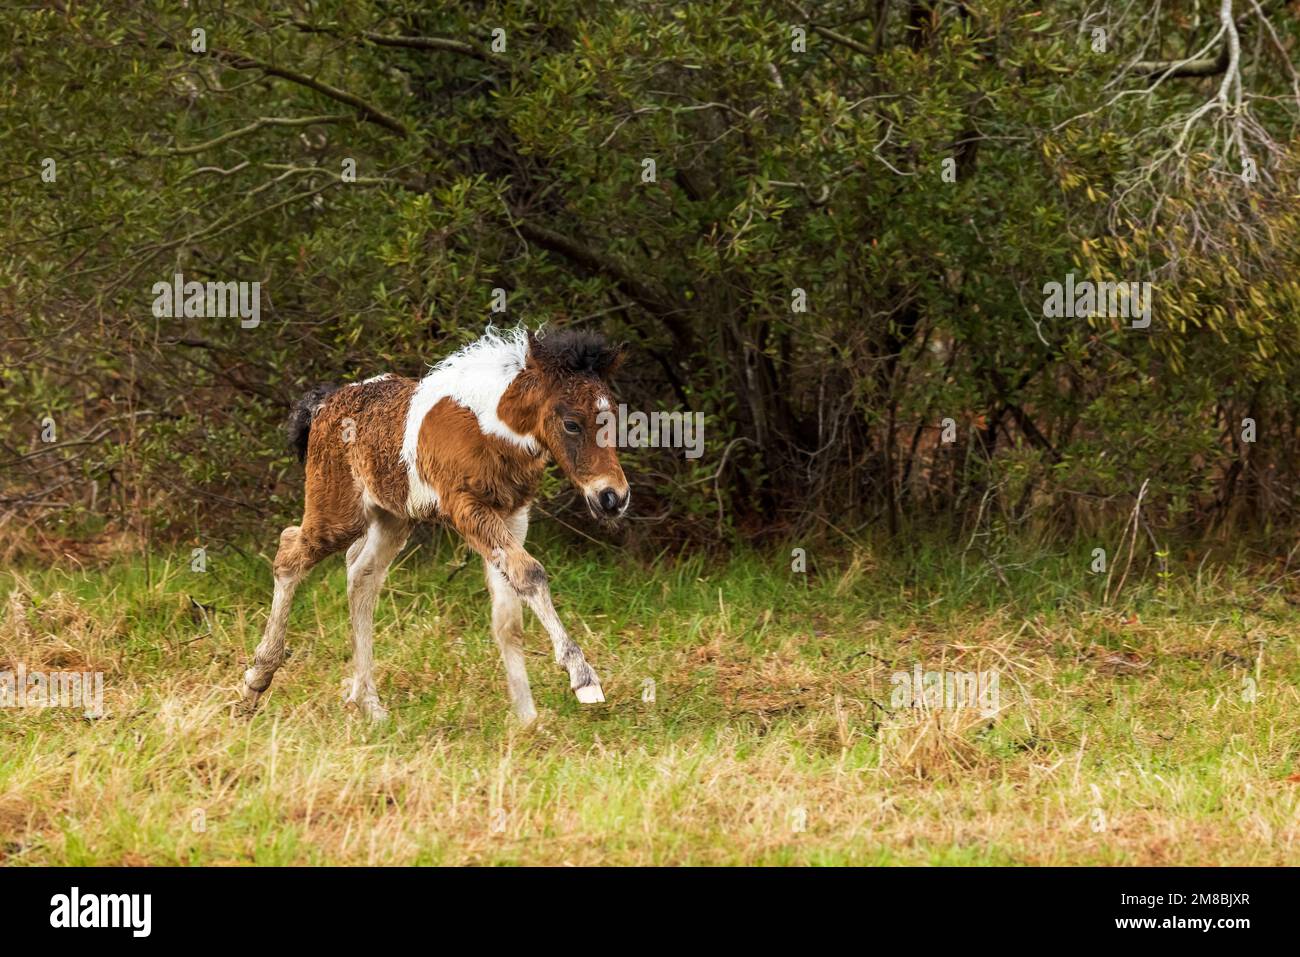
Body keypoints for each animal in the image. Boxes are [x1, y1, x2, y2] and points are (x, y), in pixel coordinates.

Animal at [240, 326, 630, 725]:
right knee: (290, 553)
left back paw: (369, 705)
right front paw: (583, 679)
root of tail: (324, 404)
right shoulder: (467, 509)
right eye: (571, 423)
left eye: (613, 417)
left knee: (361, 575)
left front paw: (527, 718)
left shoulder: (513, 515)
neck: (488, 428)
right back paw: (256, 681)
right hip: (338, 513)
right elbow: (530, 574)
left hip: (393, 518)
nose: (612, 497)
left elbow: (508, 616)